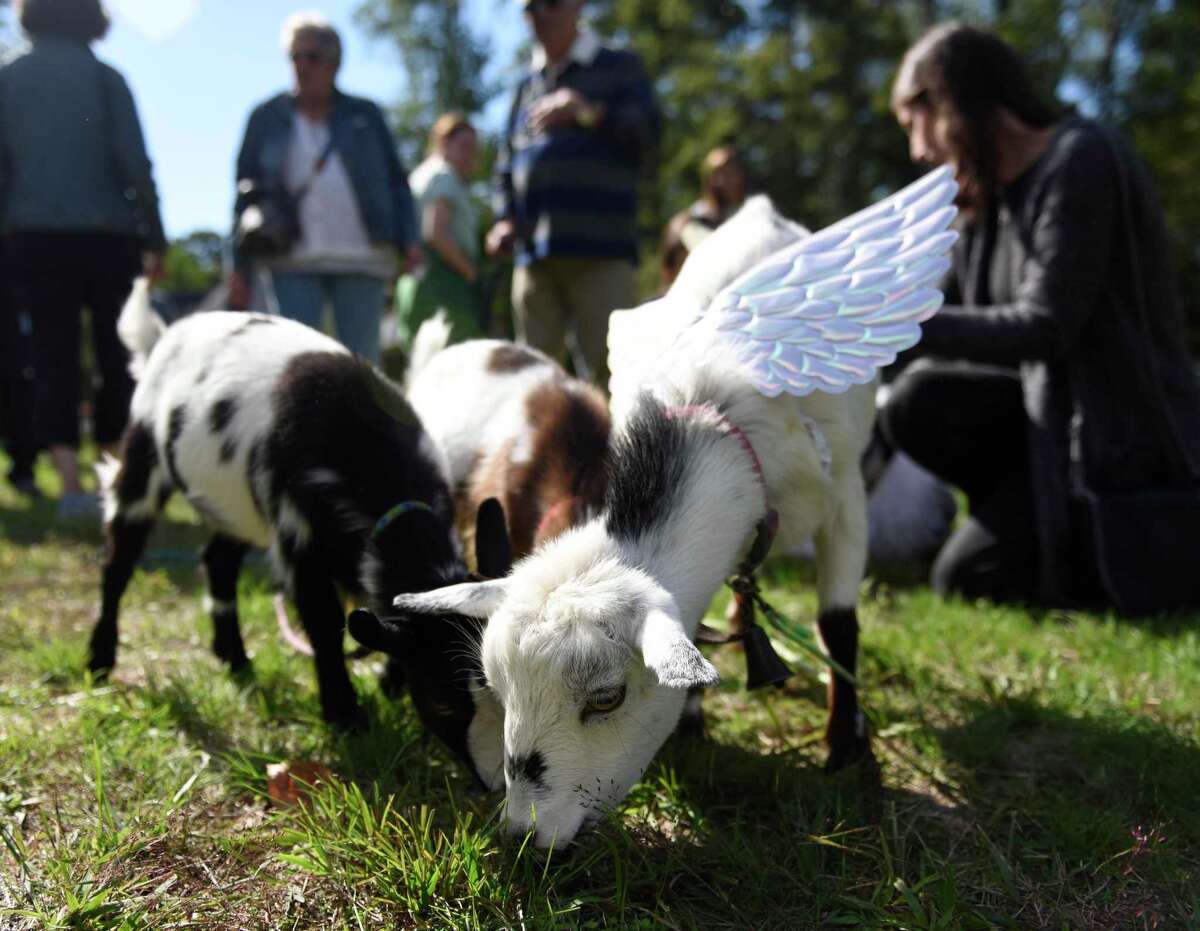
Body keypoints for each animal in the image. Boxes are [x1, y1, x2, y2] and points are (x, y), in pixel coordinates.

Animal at [88, 283, 509, 785]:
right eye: (443, 703)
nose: (492, 784)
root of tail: (163, 337)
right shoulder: (296, 535)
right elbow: (323, 621)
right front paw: (346, 716)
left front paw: (386, 684)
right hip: (144, 459)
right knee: (119, 556)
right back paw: (99, 660)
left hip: (236, 506)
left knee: (218, 559)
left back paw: (236, 660)